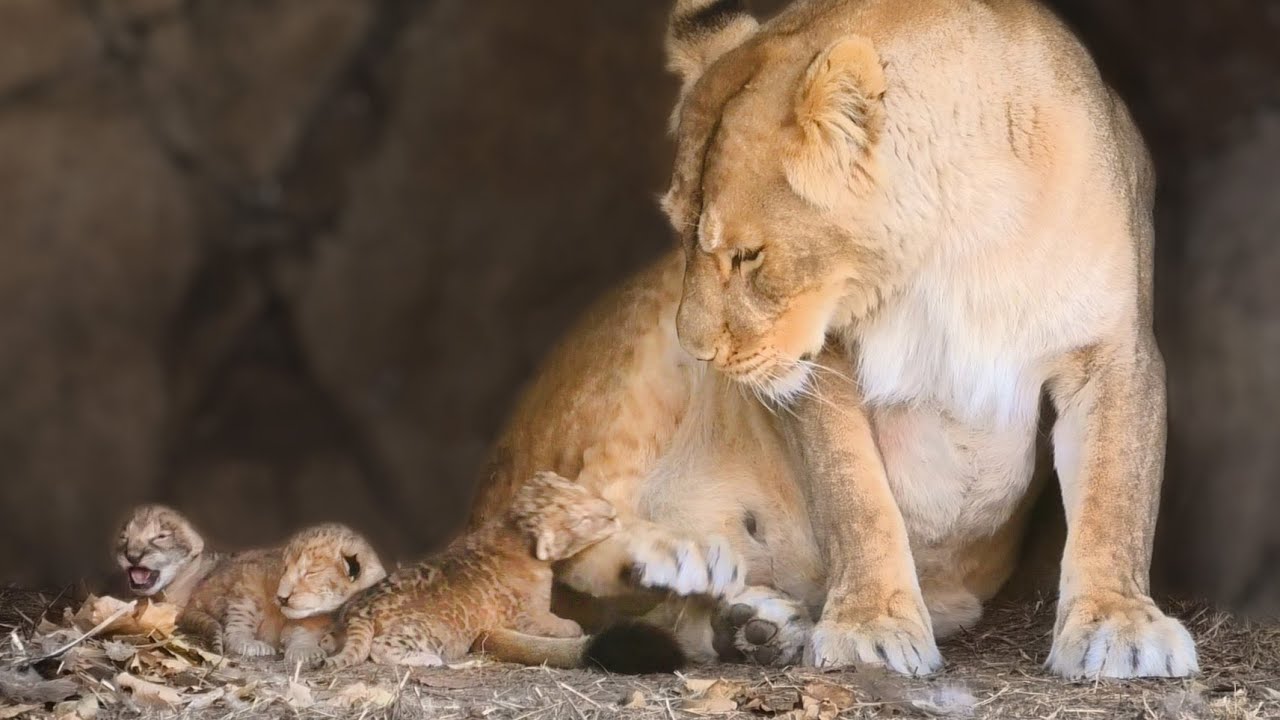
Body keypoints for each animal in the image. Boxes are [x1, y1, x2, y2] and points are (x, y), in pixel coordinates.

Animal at [469, 0, 1197, 679]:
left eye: (747, 256)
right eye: (679, 233)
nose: (699, 349)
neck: (947, 251)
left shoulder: (1114, 347)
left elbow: (1116, 494)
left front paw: (1118, 625)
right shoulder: (822, 364)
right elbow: (855, 496)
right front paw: (871, 626)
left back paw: (751, 623)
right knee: (543, 546)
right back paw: (676, 558)